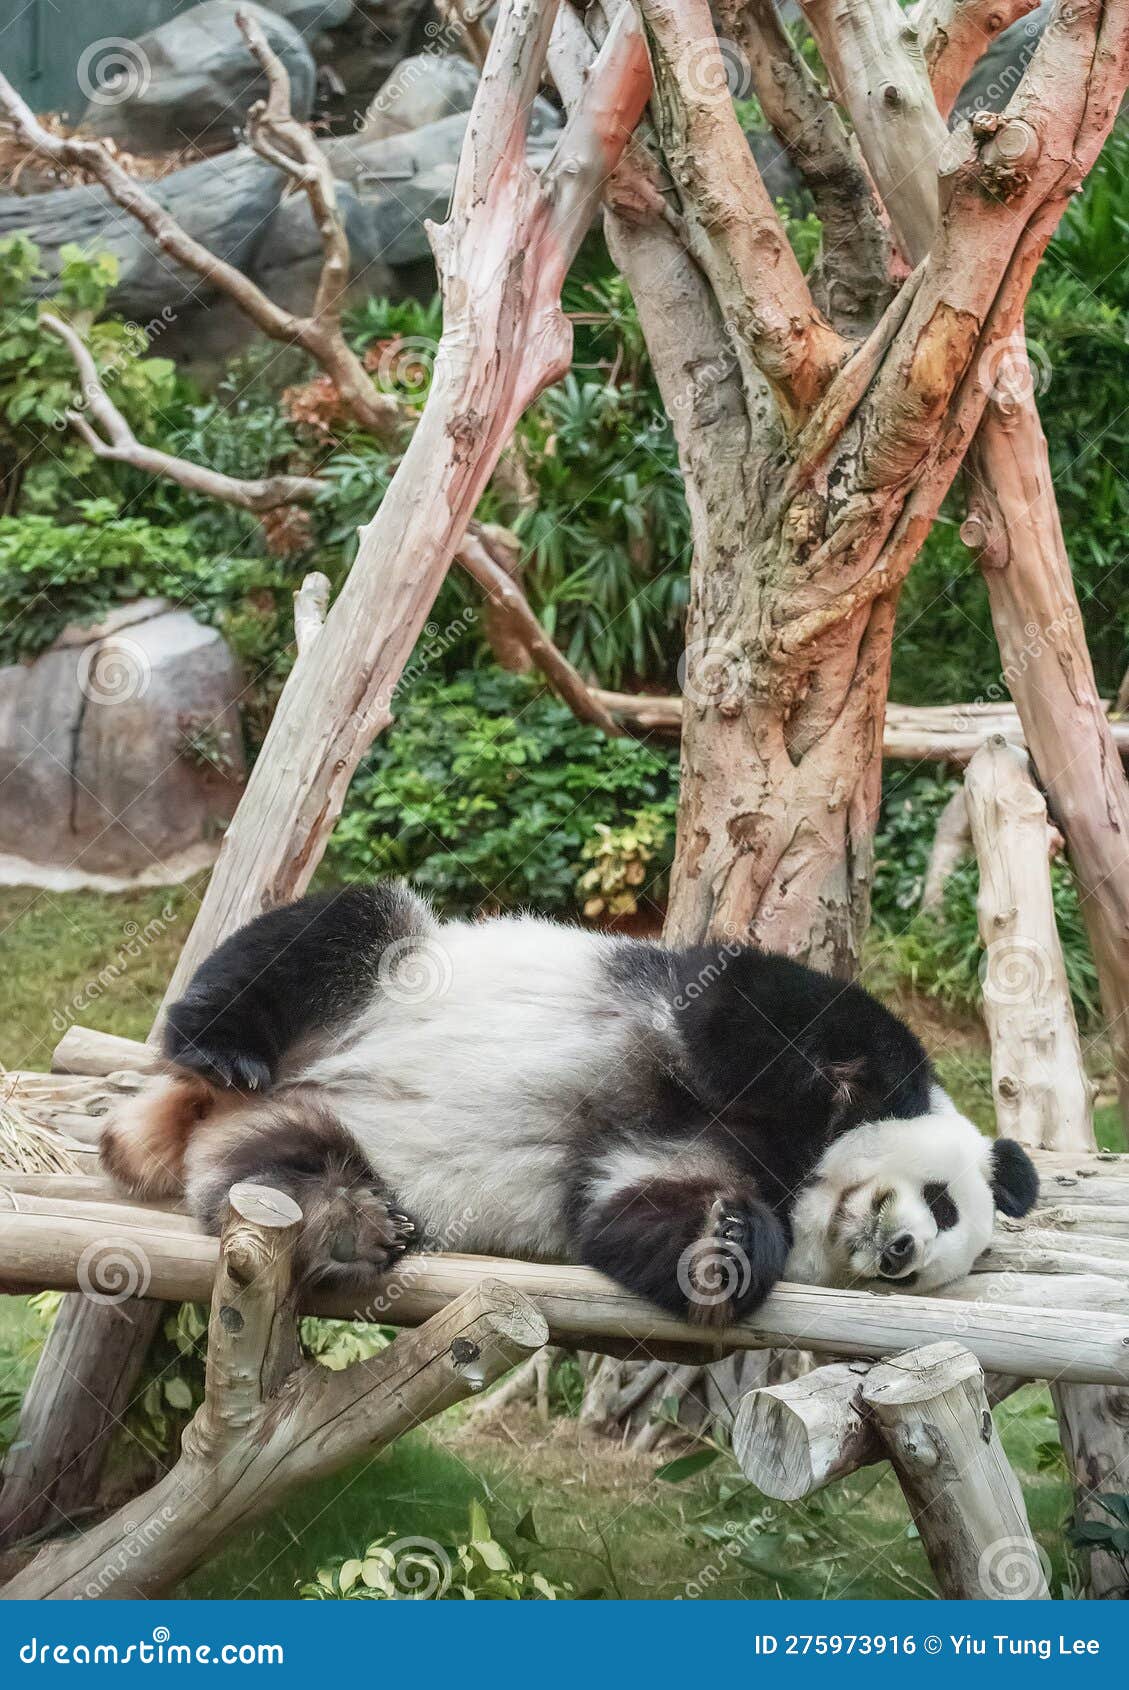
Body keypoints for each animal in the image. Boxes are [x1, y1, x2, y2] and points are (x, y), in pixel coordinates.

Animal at [102, 879, 1039, 1322]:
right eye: (944, 1202)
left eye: (927, 1268)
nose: (900, 1252)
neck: (799, 1174)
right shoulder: (731, 1014)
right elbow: (748, 1008)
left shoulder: (679, 1170)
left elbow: (621, 1214)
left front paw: (729, 1241)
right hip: (385, 975)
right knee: (334, 930)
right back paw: (222, 1044)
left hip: (297, 1142)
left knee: (274, 1166)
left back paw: (344, 1218)